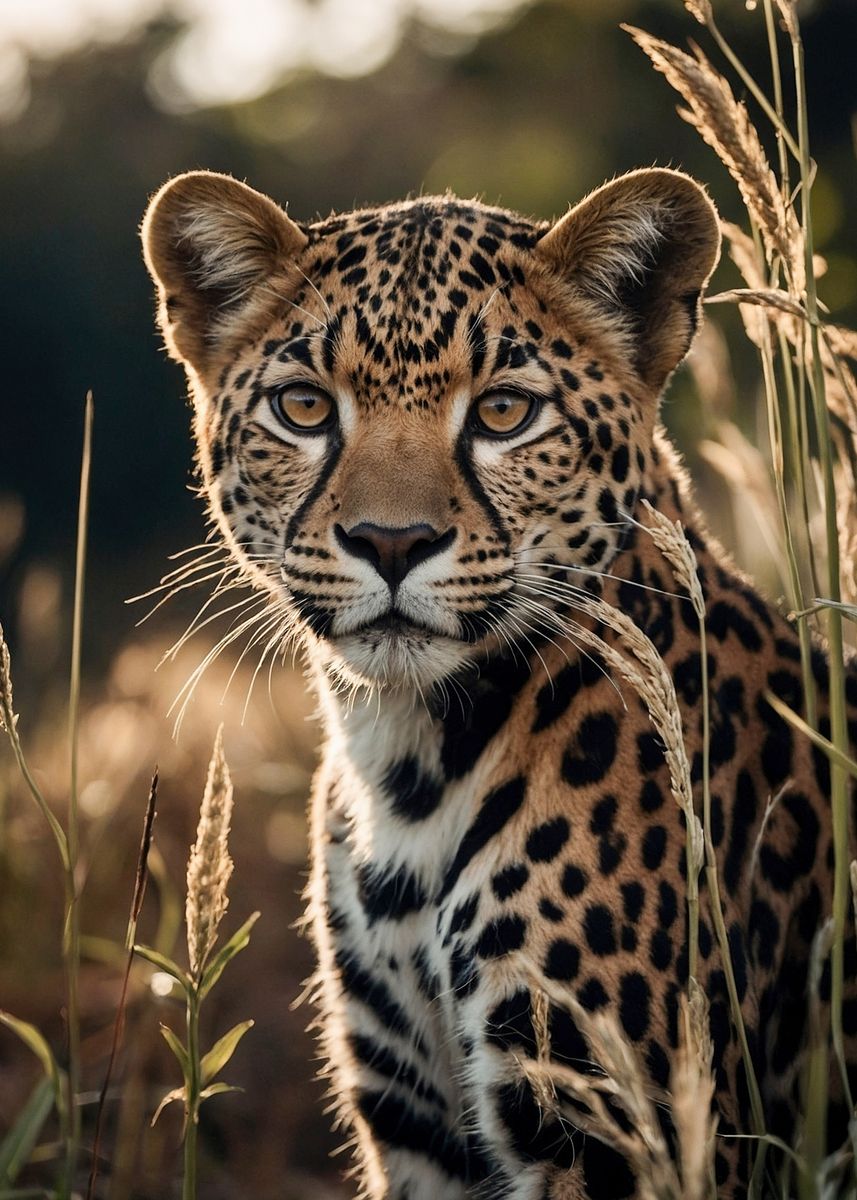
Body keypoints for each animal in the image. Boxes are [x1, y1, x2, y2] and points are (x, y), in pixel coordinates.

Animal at [141, 166, 857, 1199]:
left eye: (504, 413)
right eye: (305, 408)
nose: (390, 542)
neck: (407, 761)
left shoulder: (616, 1131)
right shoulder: (413, 1120)